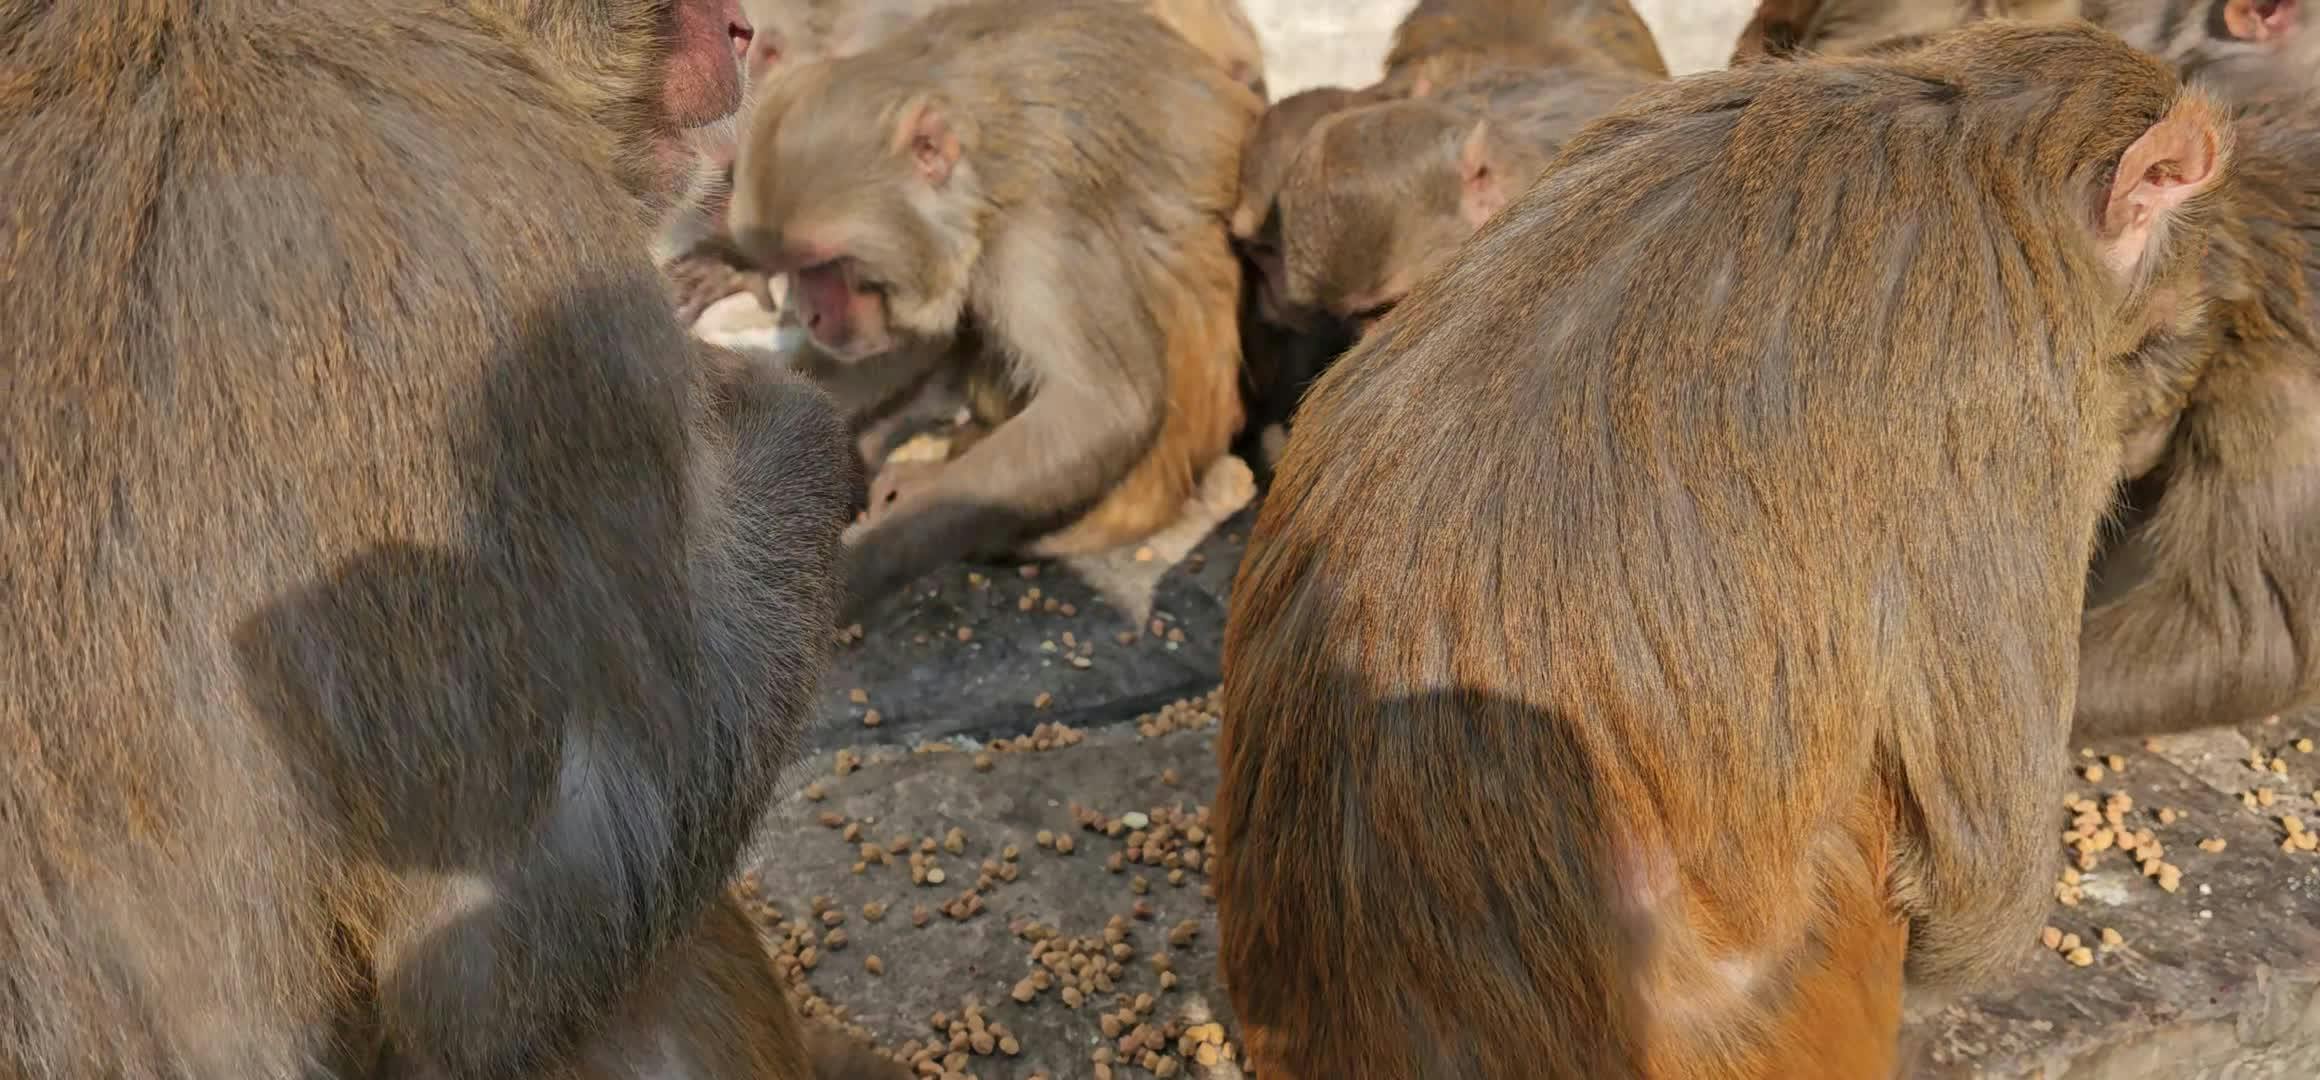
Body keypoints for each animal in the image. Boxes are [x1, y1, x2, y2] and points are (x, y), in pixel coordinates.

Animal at [729, 0, 1258, 620]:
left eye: (823, 263)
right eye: (791, 266)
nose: (810, 315)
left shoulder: (1040, 230)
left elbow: (1105, 408)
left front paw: (844, 579)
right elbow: (915, 340)